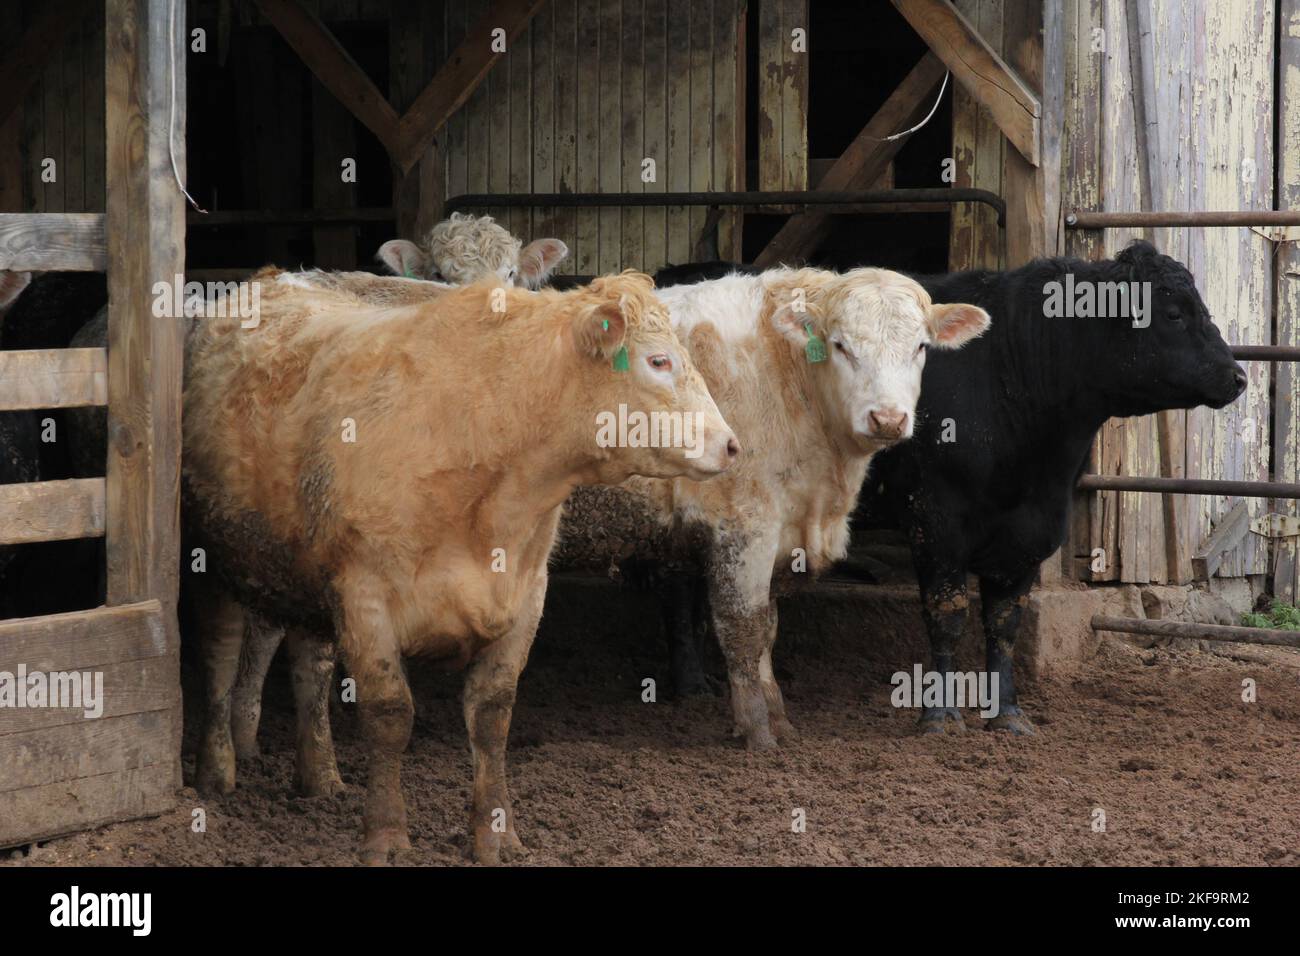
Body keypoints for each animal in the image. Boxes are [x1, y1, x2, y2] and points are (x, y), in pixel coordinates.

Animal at [183, 268, 738, 864]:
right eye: (658, 361)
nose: (732, 445)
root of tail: (272, 279)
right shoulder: (364, 593)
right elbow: (389, 715)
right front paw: (387, 836)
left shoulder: (525, 595)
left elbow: (492, 716)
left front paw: (497, 834)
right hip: (216, 556)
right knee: (220, 656)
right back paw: (216, 775)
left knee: (311, 666)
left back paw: (322, 778)